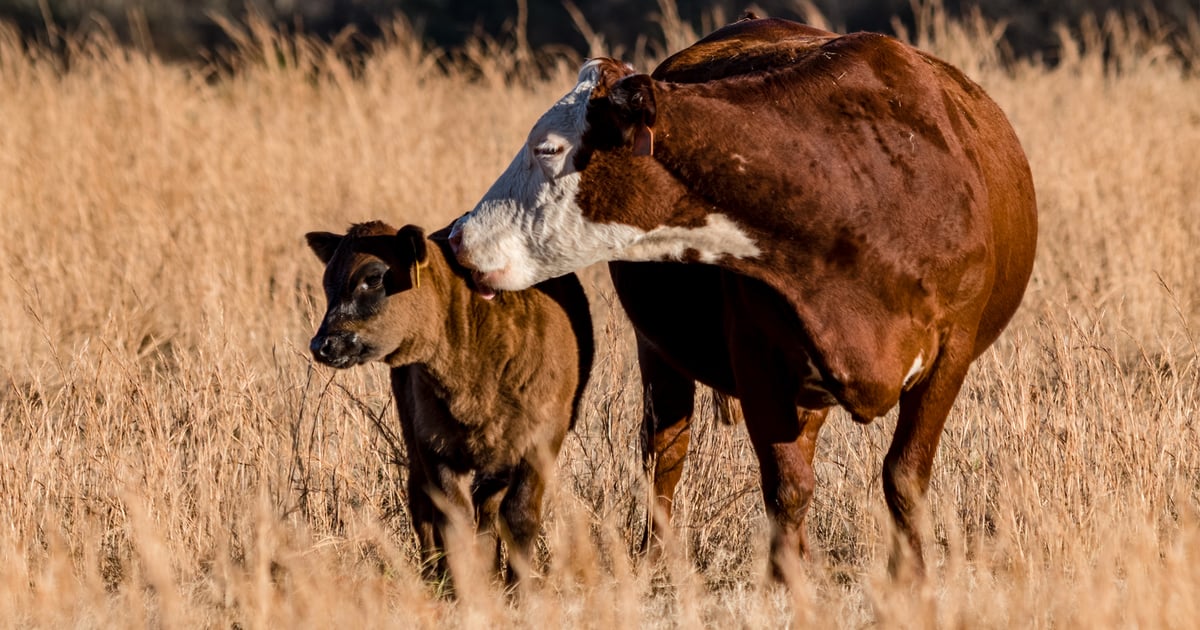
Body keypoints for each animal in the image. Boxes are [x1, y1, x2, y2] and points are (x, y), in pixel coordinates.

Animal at [306, 221, 594, 585]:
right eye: (327, 282)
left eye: (373, 277)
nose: (322, 344)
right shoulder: (434, 442)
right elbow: (452, 520)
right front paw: (464, 587)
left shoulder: (542, 440)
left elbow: (520, 516)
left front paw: (519, 590)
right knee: (423, 504)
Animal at [446, 16, 1038, 579]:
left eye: (547, 148)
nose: (457, 236)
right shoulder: (757, 356)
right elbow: (787, 484)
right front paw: (784, 583)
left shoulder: (951, 350)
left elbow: (904, 474)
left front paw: (909, 576)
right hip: (660, 351)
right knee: (664, 452)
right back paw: (657, 558)